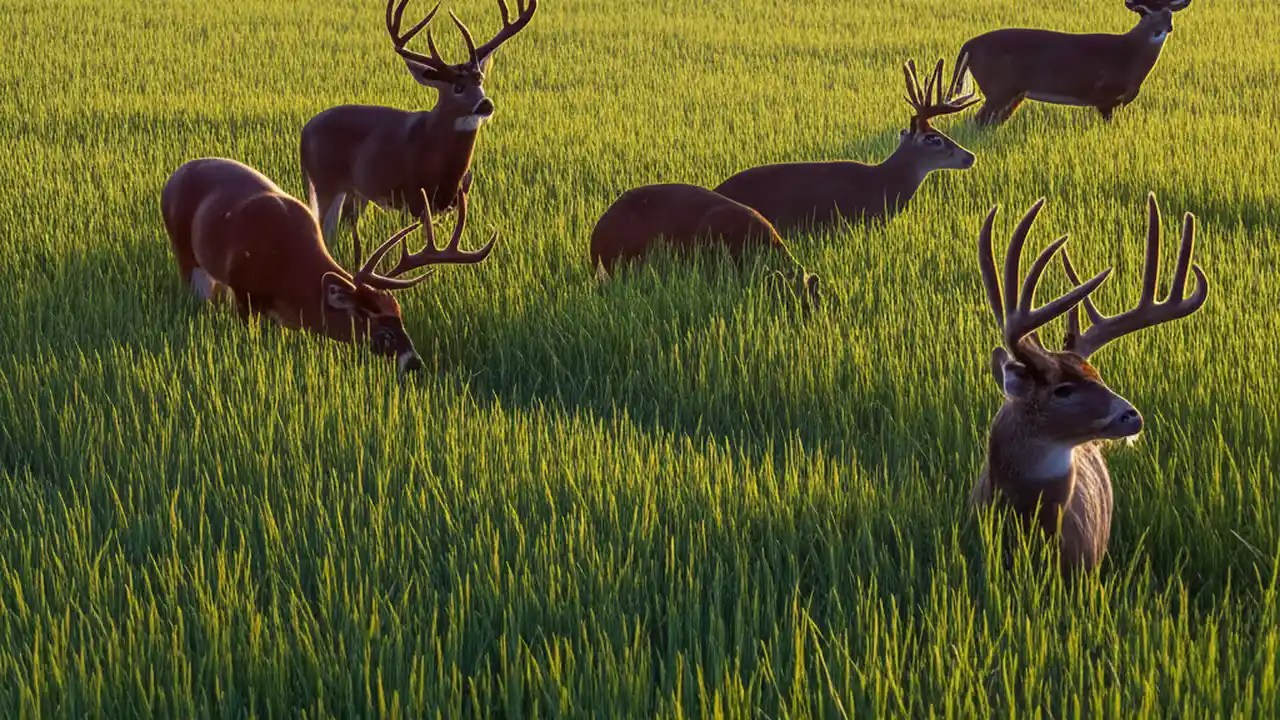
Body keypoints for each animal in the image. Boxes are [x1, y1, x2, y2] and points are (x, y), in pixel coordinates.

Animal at [161, 157, 496, 378]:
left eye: (400, 316)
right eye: (379, 325)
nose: (414, 363)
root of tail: (174, 176)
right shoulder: (243, 292)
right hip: (183, 251)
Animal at [300, 0, 536, 266]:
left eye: (481, 80)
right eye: (458, 87)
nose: (486, 105)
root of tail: (305, 129)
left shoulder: (448, 203)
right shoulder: (410, 196)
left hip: (356, 192)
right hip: (324, 183)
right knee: (323, 227)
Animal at [959, 0, 1192, 126]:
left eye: (1169, 12)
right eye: (1144, 12)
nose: (1165, 28)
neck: (1130, 56)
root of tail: (969, 45)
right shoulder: (1105, 98)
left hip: (1013, 94)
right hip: (998, 89)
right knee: (977, 122)